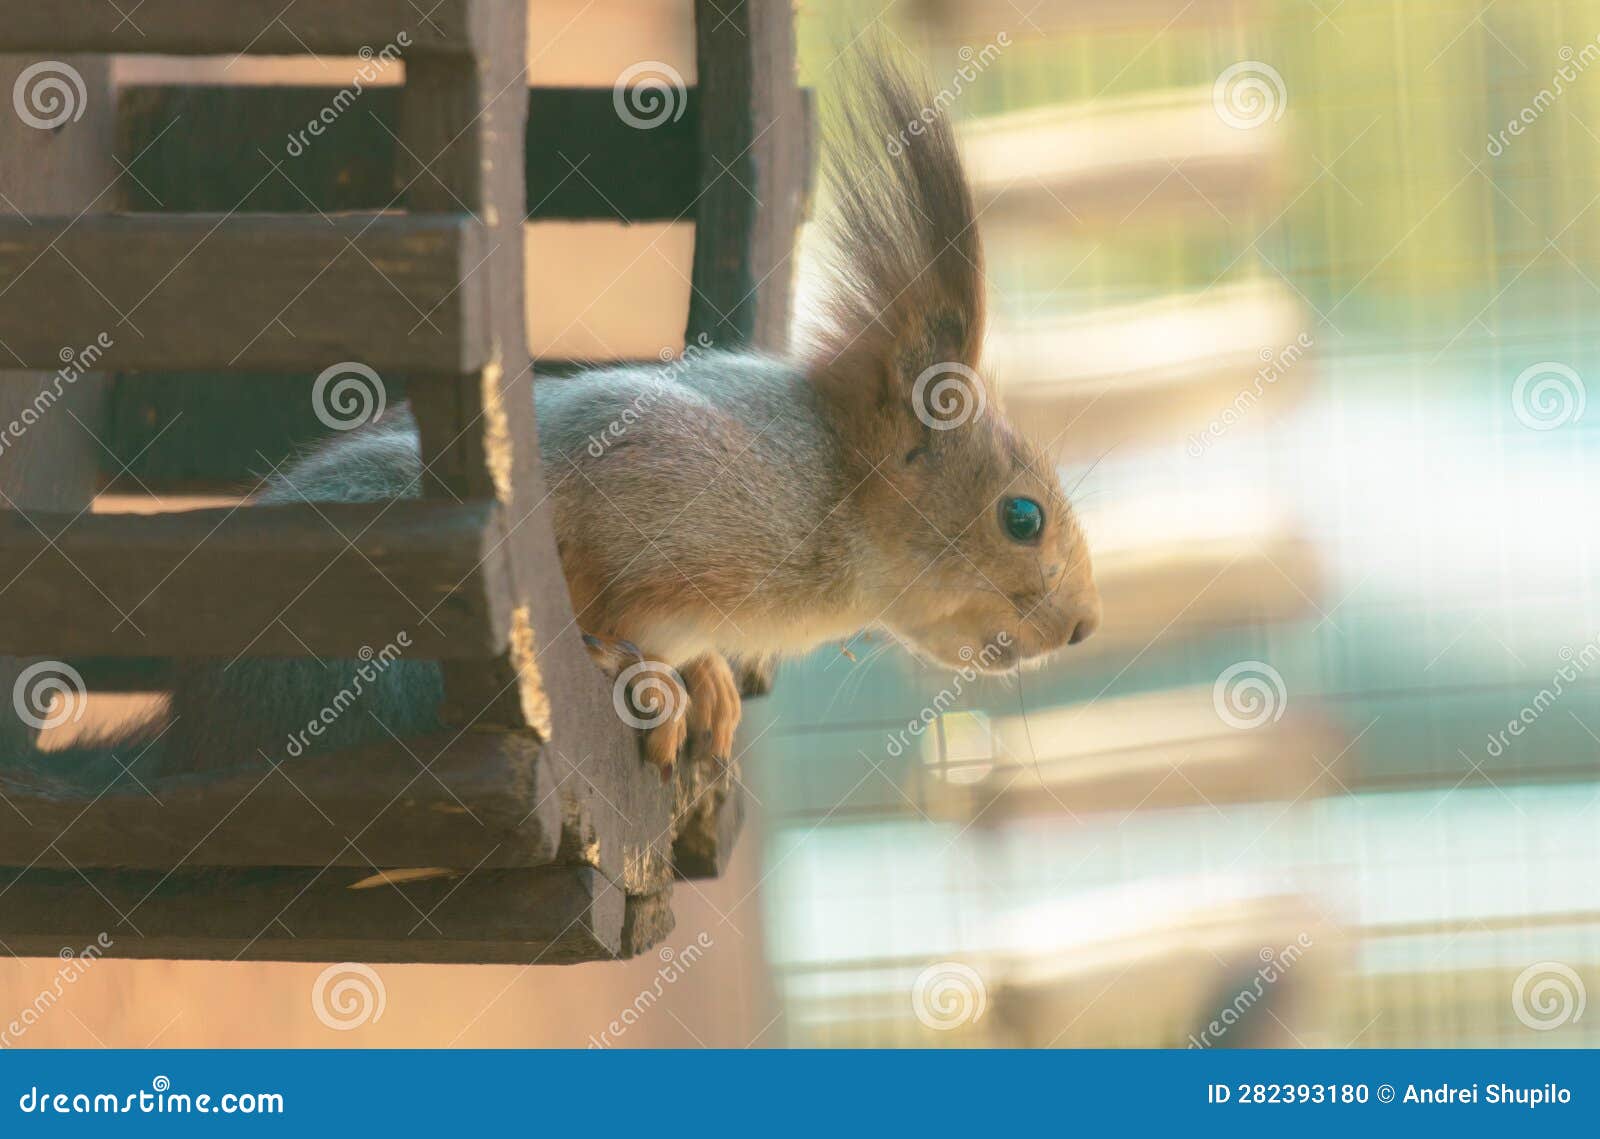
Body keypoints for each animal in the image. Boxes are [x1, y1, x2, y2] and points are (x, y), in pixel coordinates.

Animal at [134, 51, 1100, 779]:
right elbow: (588, 579)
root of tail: (190, 738)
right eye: (1022, 517)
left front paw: (706, 676)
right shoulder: (653, 458)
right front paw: (635, 668)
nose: (1085, 626)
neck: (828, 502)